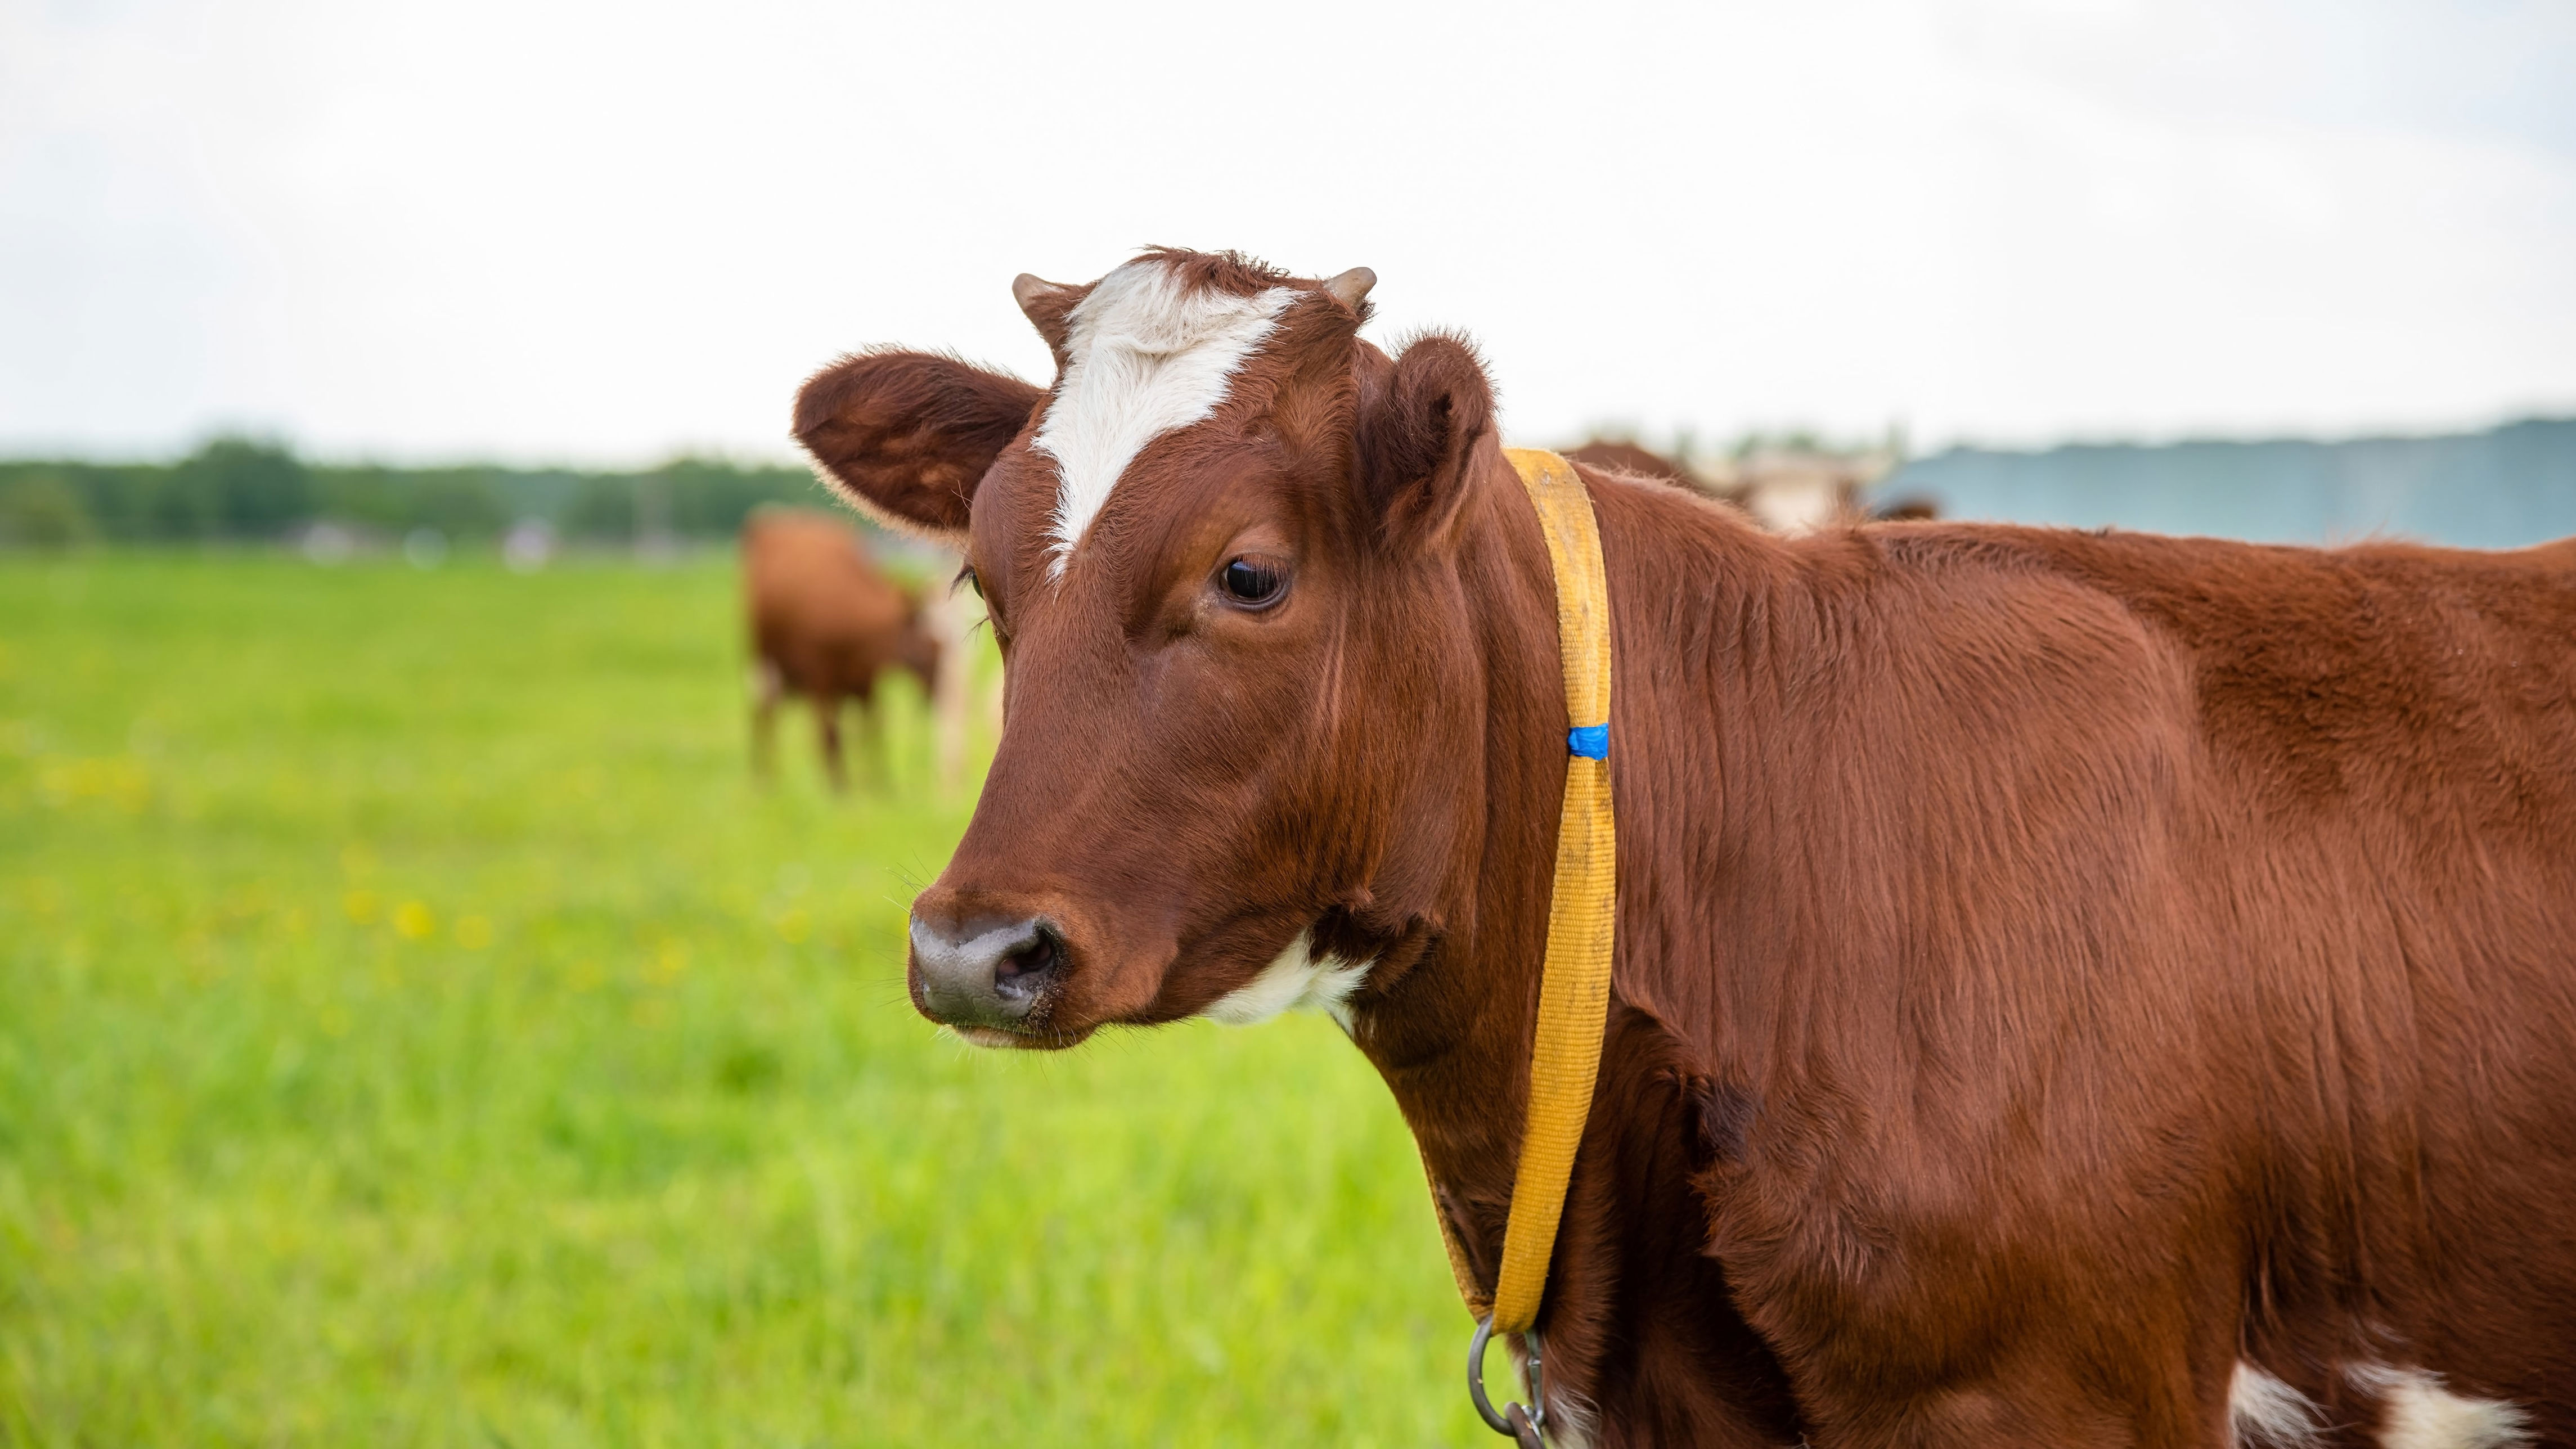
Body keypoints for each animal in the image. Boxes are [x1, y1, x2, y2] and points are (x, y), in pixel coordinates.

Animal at [740, 506, 941, 791]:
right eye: (927, 648)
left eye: (940, 645)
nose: (938, 692)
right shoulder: (820, 681)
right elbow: (831, 735)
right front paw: (839, 787)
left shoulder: (865, 683)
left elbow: (874, 729)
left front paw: (882, 785)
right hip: (763, 660)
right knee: (764, 714)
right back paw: (766, 777)